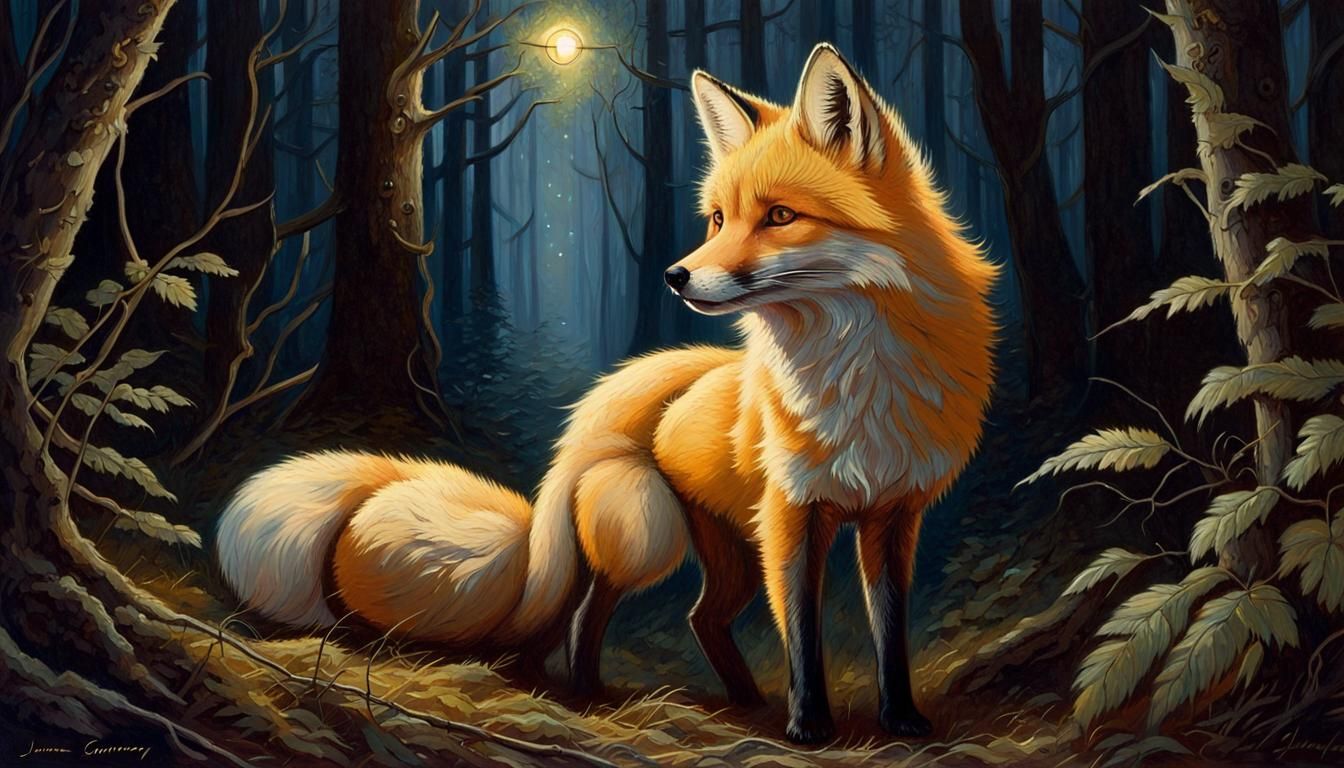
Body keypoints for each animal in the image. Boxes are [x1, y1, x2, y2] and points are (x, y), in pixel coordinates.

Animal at [216, 43, 996, 744]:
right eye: (718, 219)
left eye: (779, 216)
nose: (676, 277)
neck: (860, 378)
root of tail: (605, 399)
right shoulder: (792, 512)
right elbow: (802, 631)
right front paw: (809, 726)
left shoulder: (894, 515)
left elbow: (889, 630)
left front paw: (901, 719)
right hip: (652, 533)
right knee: (586, 608)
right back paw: (587, 693)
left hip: (728, 553)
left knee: (697, 617)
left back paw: (739, 699)